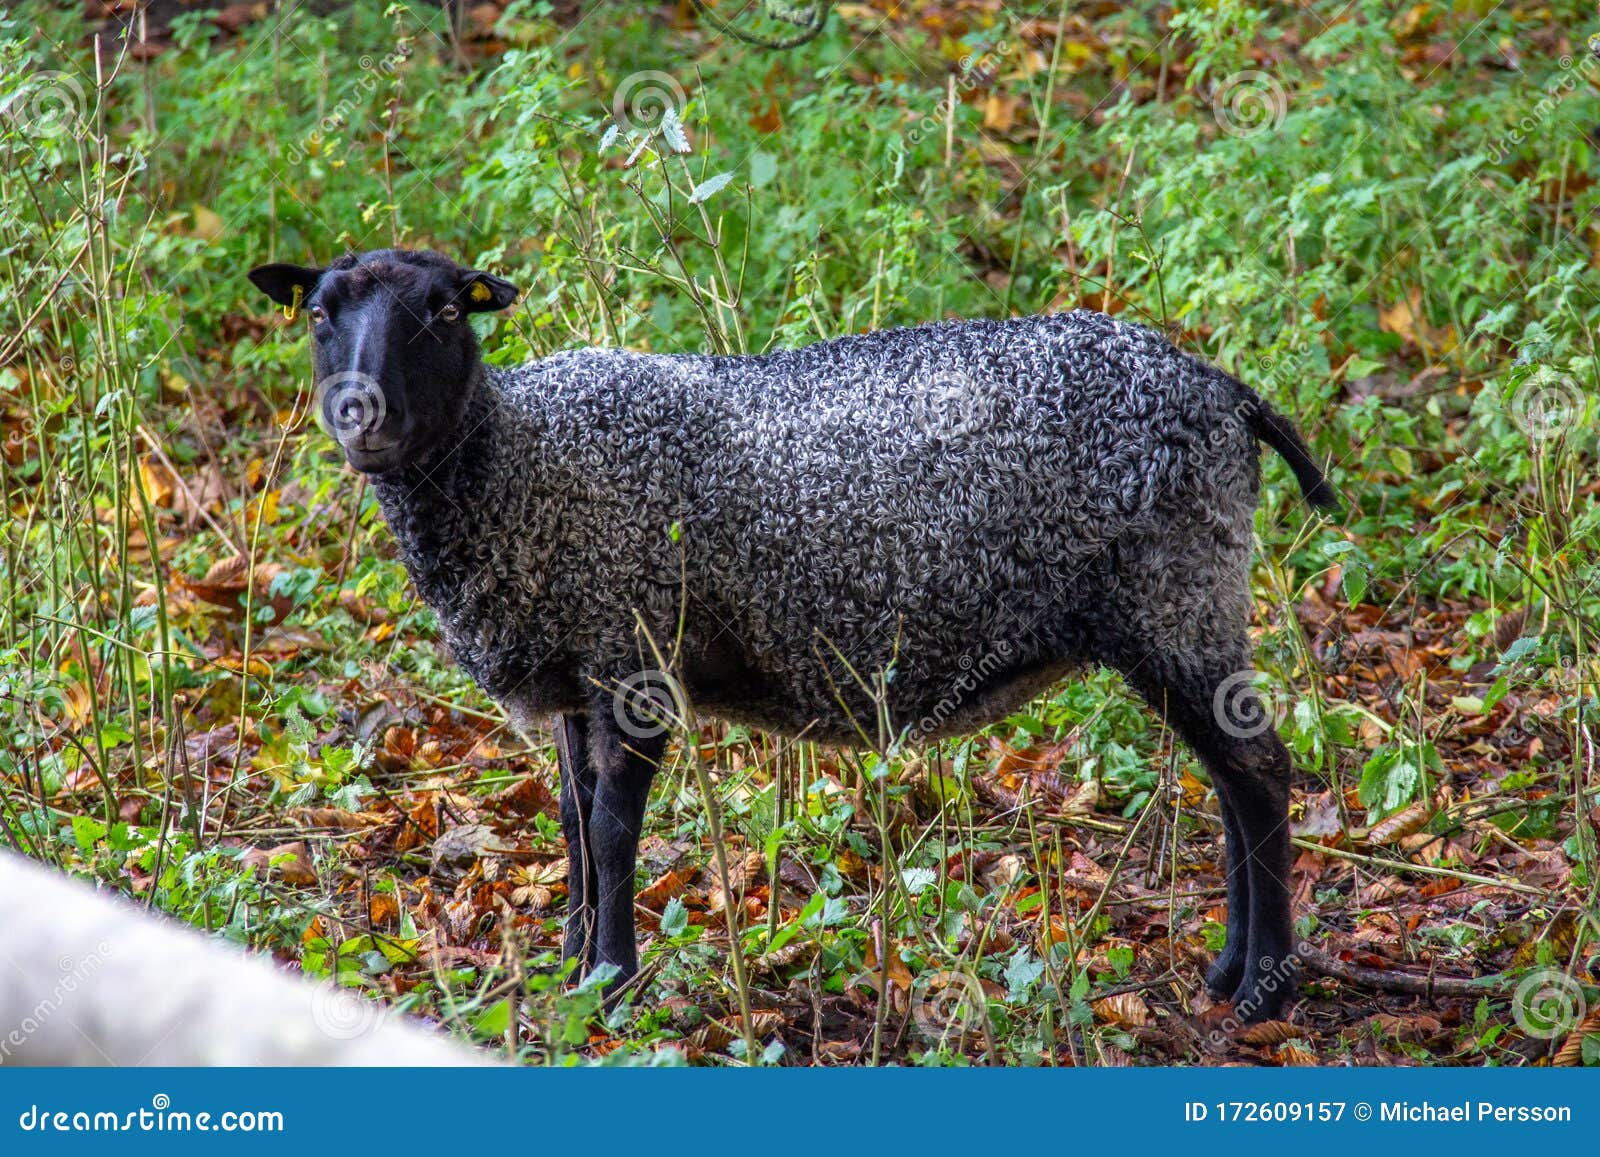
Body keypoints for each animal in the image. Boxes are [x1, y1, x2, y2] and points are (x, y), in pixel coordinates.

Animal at [248, 247, 1339, 1023]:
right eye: (318, 313)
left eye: (444, 311)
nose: (363, 414)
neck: (518, 465)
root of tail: (1221, 390)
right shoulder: (575, 669)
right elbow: (571, 822)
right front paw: (567, 970)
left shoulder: (635, 654)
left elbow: (612, 827)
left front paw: (612, 984)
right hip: (1185, 606)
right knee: (1232, 780)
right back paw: (1226, 969)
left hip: (1176, 597)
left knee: (1258, 772)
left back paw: (1262, 988)